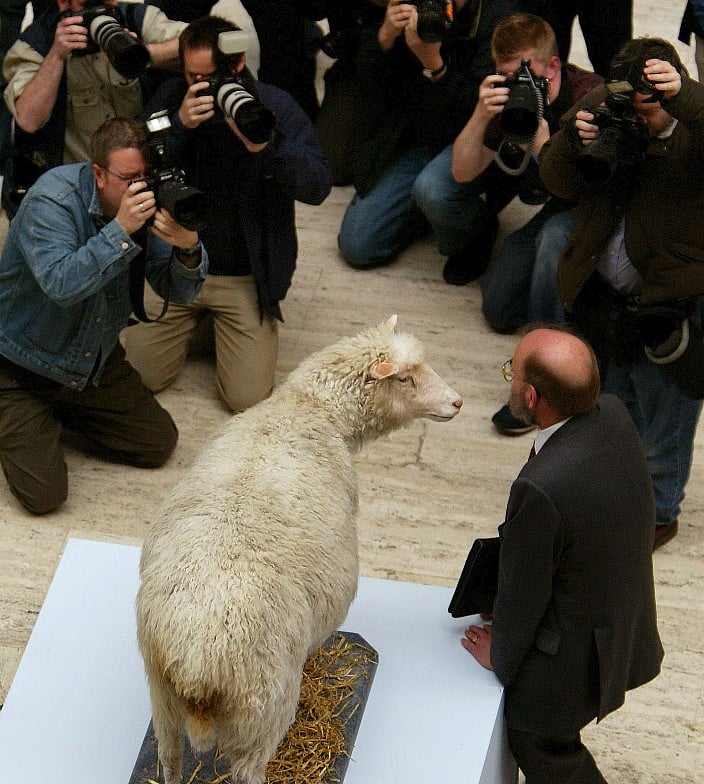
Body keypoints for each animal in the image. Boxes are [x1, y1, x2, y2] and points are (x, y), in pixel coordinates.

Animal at [135, 315, 463, 784]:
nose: (458, 402)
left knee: (169, 757)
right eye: (404, 378)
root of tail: (198, 661)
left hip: (160, 697)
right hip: (263, 712)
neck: (310, 409)